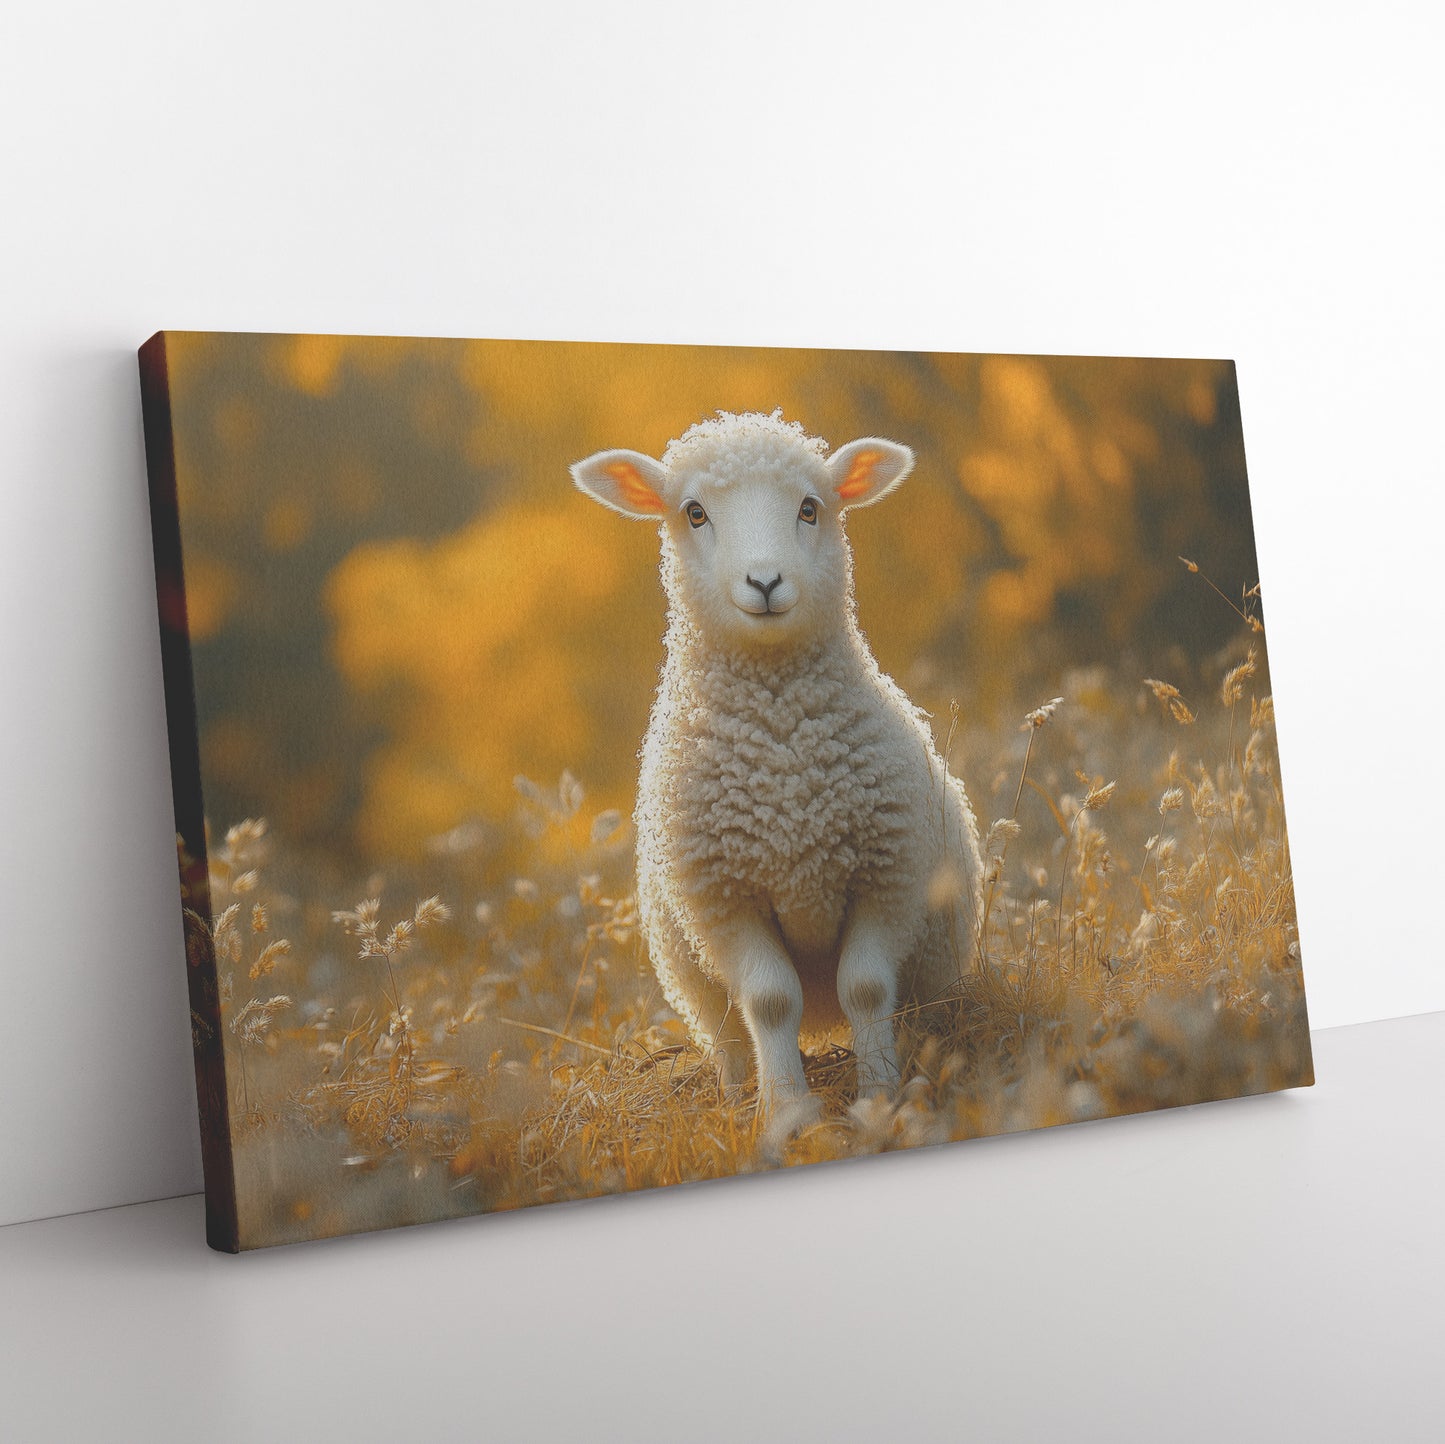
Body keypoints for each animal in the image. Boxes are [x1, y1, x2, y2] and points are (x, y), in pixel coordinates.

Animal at [571, 410, 983, 1141]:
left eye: (809, 507)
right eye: (695, 512)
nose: (764, 582)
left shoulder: (887, 876)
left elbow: (866, 989)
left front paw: (879, 1095)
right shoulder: (723, 900)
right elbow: (767, 1002)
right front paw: (789, 1114)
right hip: (697, 987)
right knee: (734, 1039)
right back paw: (741, 1100)